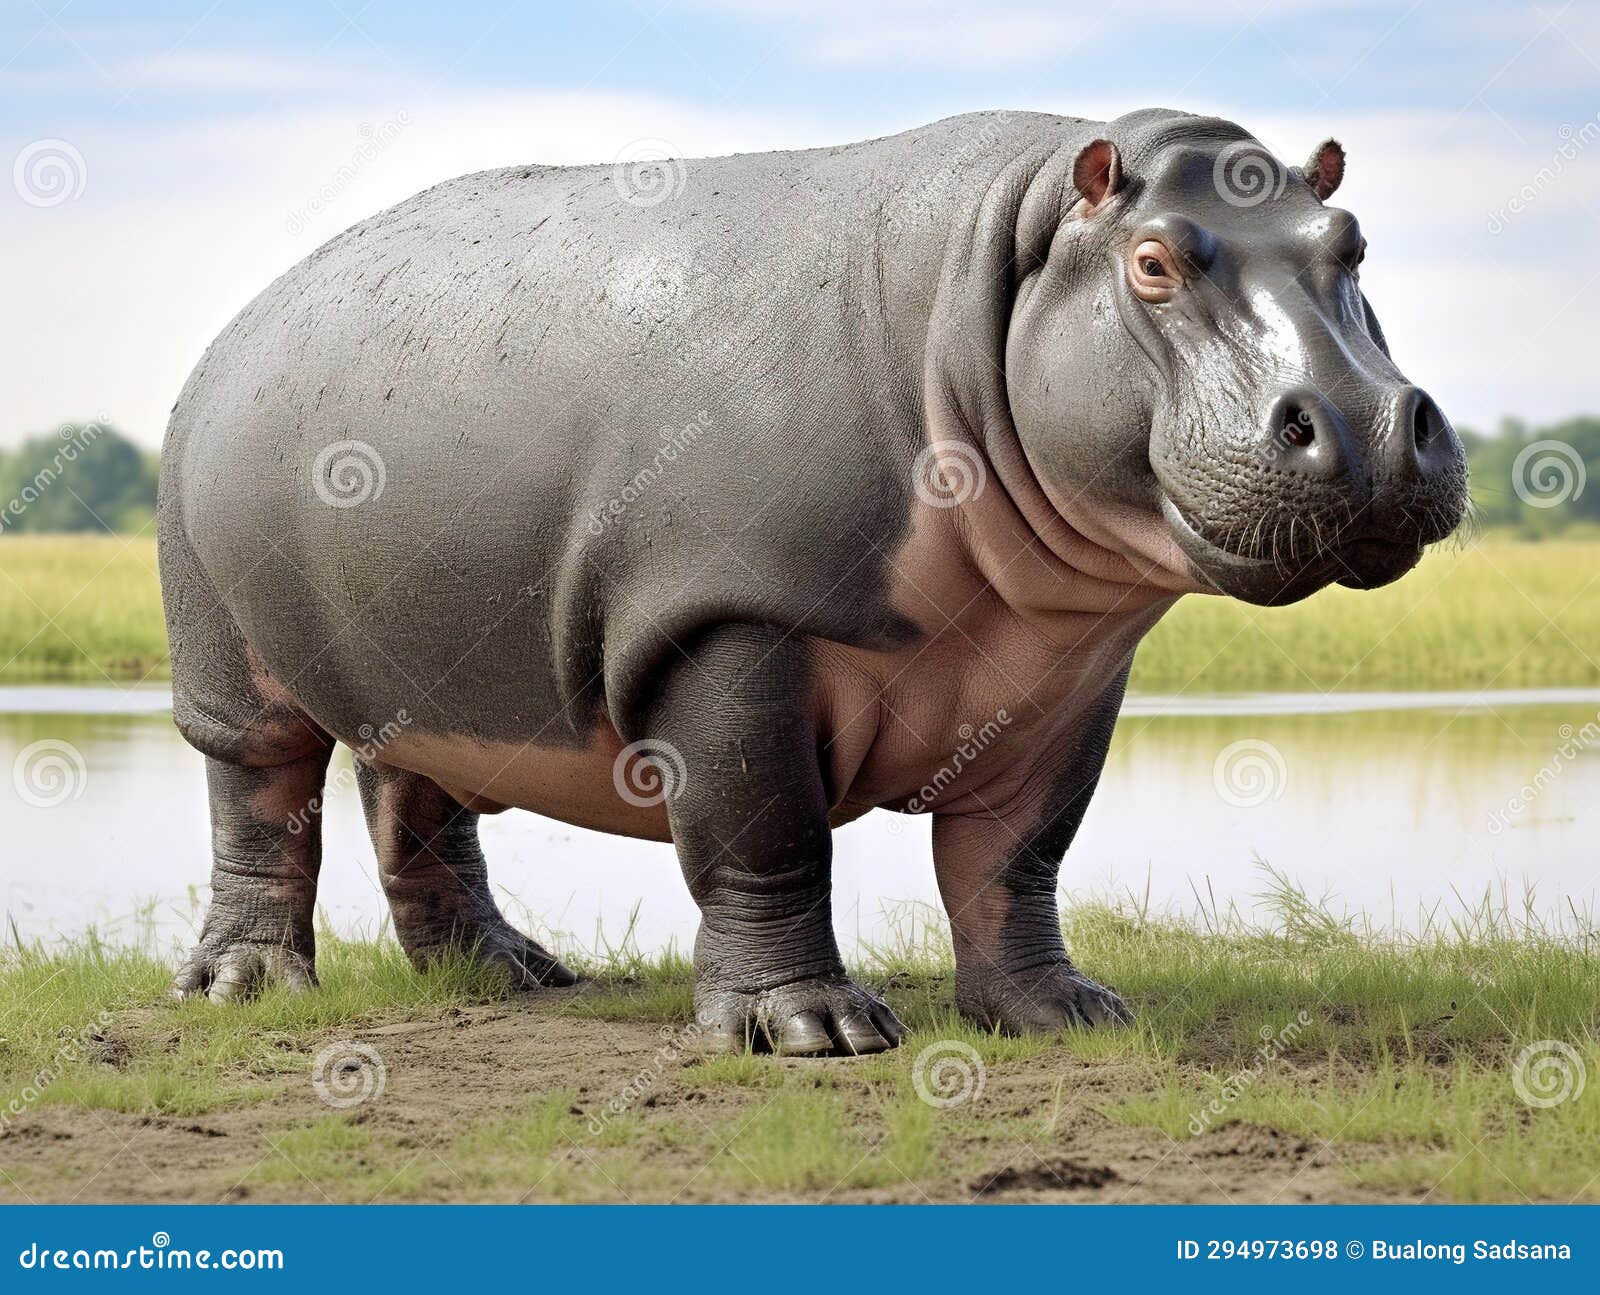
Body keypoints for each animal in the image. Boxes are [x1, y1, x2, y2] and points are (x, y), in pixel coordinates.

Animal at [157, 109, 1468, 1053]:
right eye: (1152, 262)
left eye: (1350, 243)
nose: (1366, 423)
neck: (999, 274)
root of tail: (250, 314)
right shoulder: (731, 625)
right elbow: (763, 829)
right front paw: (811, 1030)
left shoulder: (1069, 673)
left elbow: (1016, 859)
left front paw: (1064, 1013)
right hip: (224, 654)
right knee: (260, 795)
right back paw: (245, 990)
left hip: (425, 665)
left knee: (413, 799)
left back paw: (514, 977)